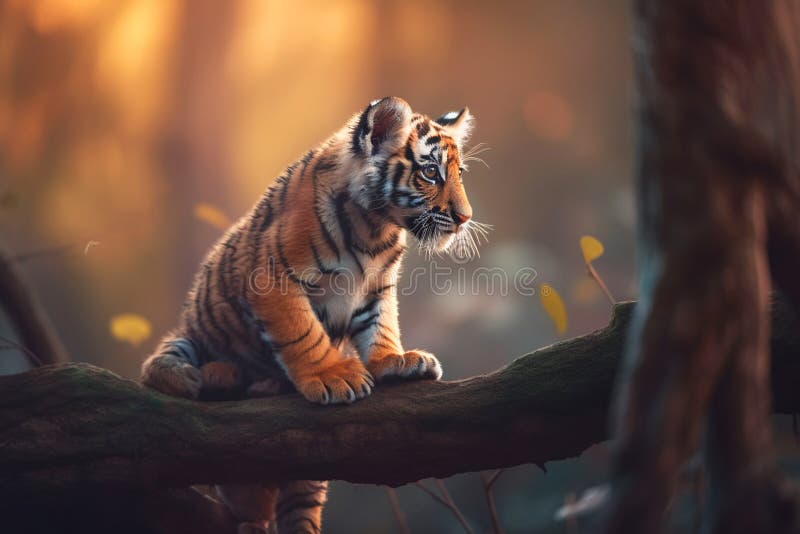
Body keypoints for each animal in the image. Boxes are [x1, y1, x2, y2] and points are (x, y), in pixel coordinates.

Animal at [141, 97, 488, 533]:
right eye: (430, 172)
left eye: (459, 174)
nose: (464, 218)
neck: (376, 227)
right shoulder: (272, 278)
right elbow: (302, 332)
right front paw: (335, 376)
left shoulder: (378, 287)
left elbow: (382, 326)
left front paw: (396, 361)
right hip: (188, 336)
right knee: (161, 367)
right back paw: (220, 376)